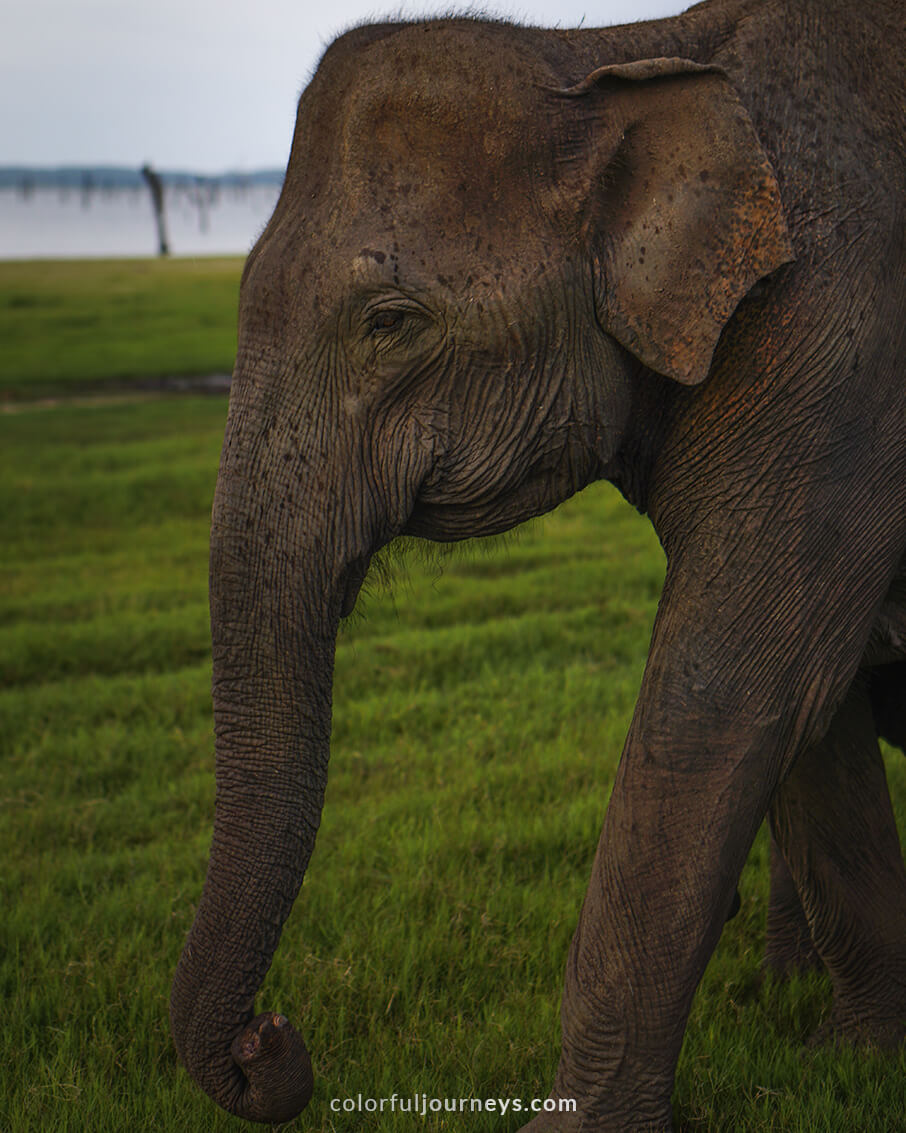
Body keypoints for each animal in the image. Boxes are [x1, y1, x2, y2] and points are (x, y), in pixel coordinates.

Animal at [169, 0, 906, 1127]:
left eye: (392, 323)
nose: (272, 1039)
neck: (612, 53)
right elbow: (805, 705)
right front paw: (855, 1060)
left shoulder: (841, 352)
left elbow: (731, 688)